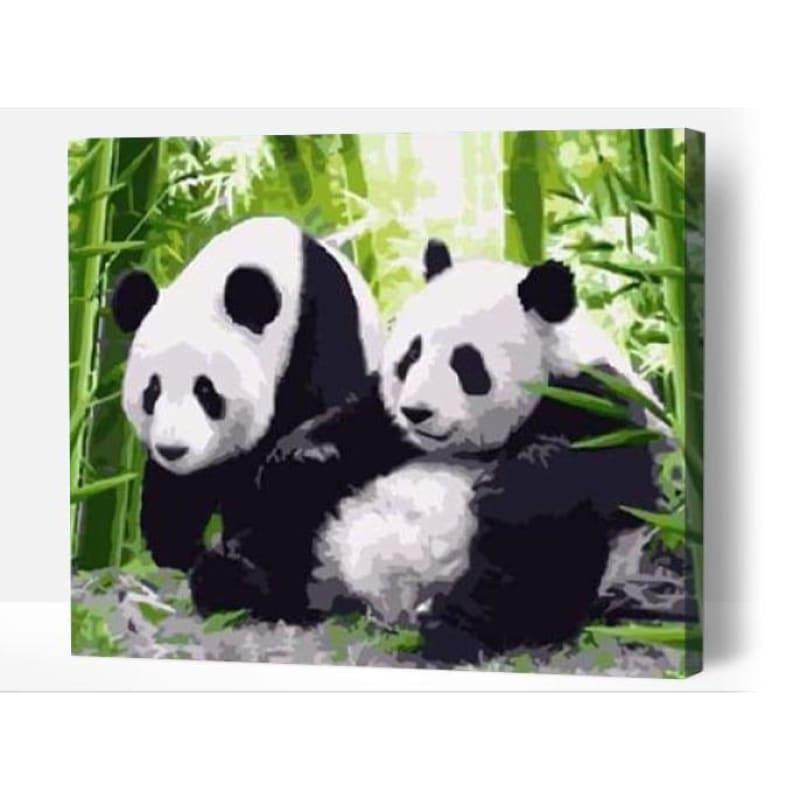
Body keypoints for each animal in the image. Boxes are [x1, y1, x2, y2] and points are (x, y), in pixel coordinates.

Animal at [111, 215, 382, 573]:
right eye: (152, 390)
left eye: (205, 389)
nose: (173, 449)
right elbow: (179, 489)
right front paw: (181, 551)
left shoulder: (323, 329)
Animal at [190, 238, 662, 661]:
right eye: (411, 354)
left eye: (466, 363)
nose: (417, 411)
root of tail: (371, 598)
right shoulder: (384, 418)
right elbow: (351, 425)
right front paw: (306, 454)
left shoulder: (593, 395)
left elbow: (617, 479)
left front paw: (515, 484)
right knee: (287, 516)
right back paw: (236, 580)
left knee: (536, 560)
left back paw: (455, 629)